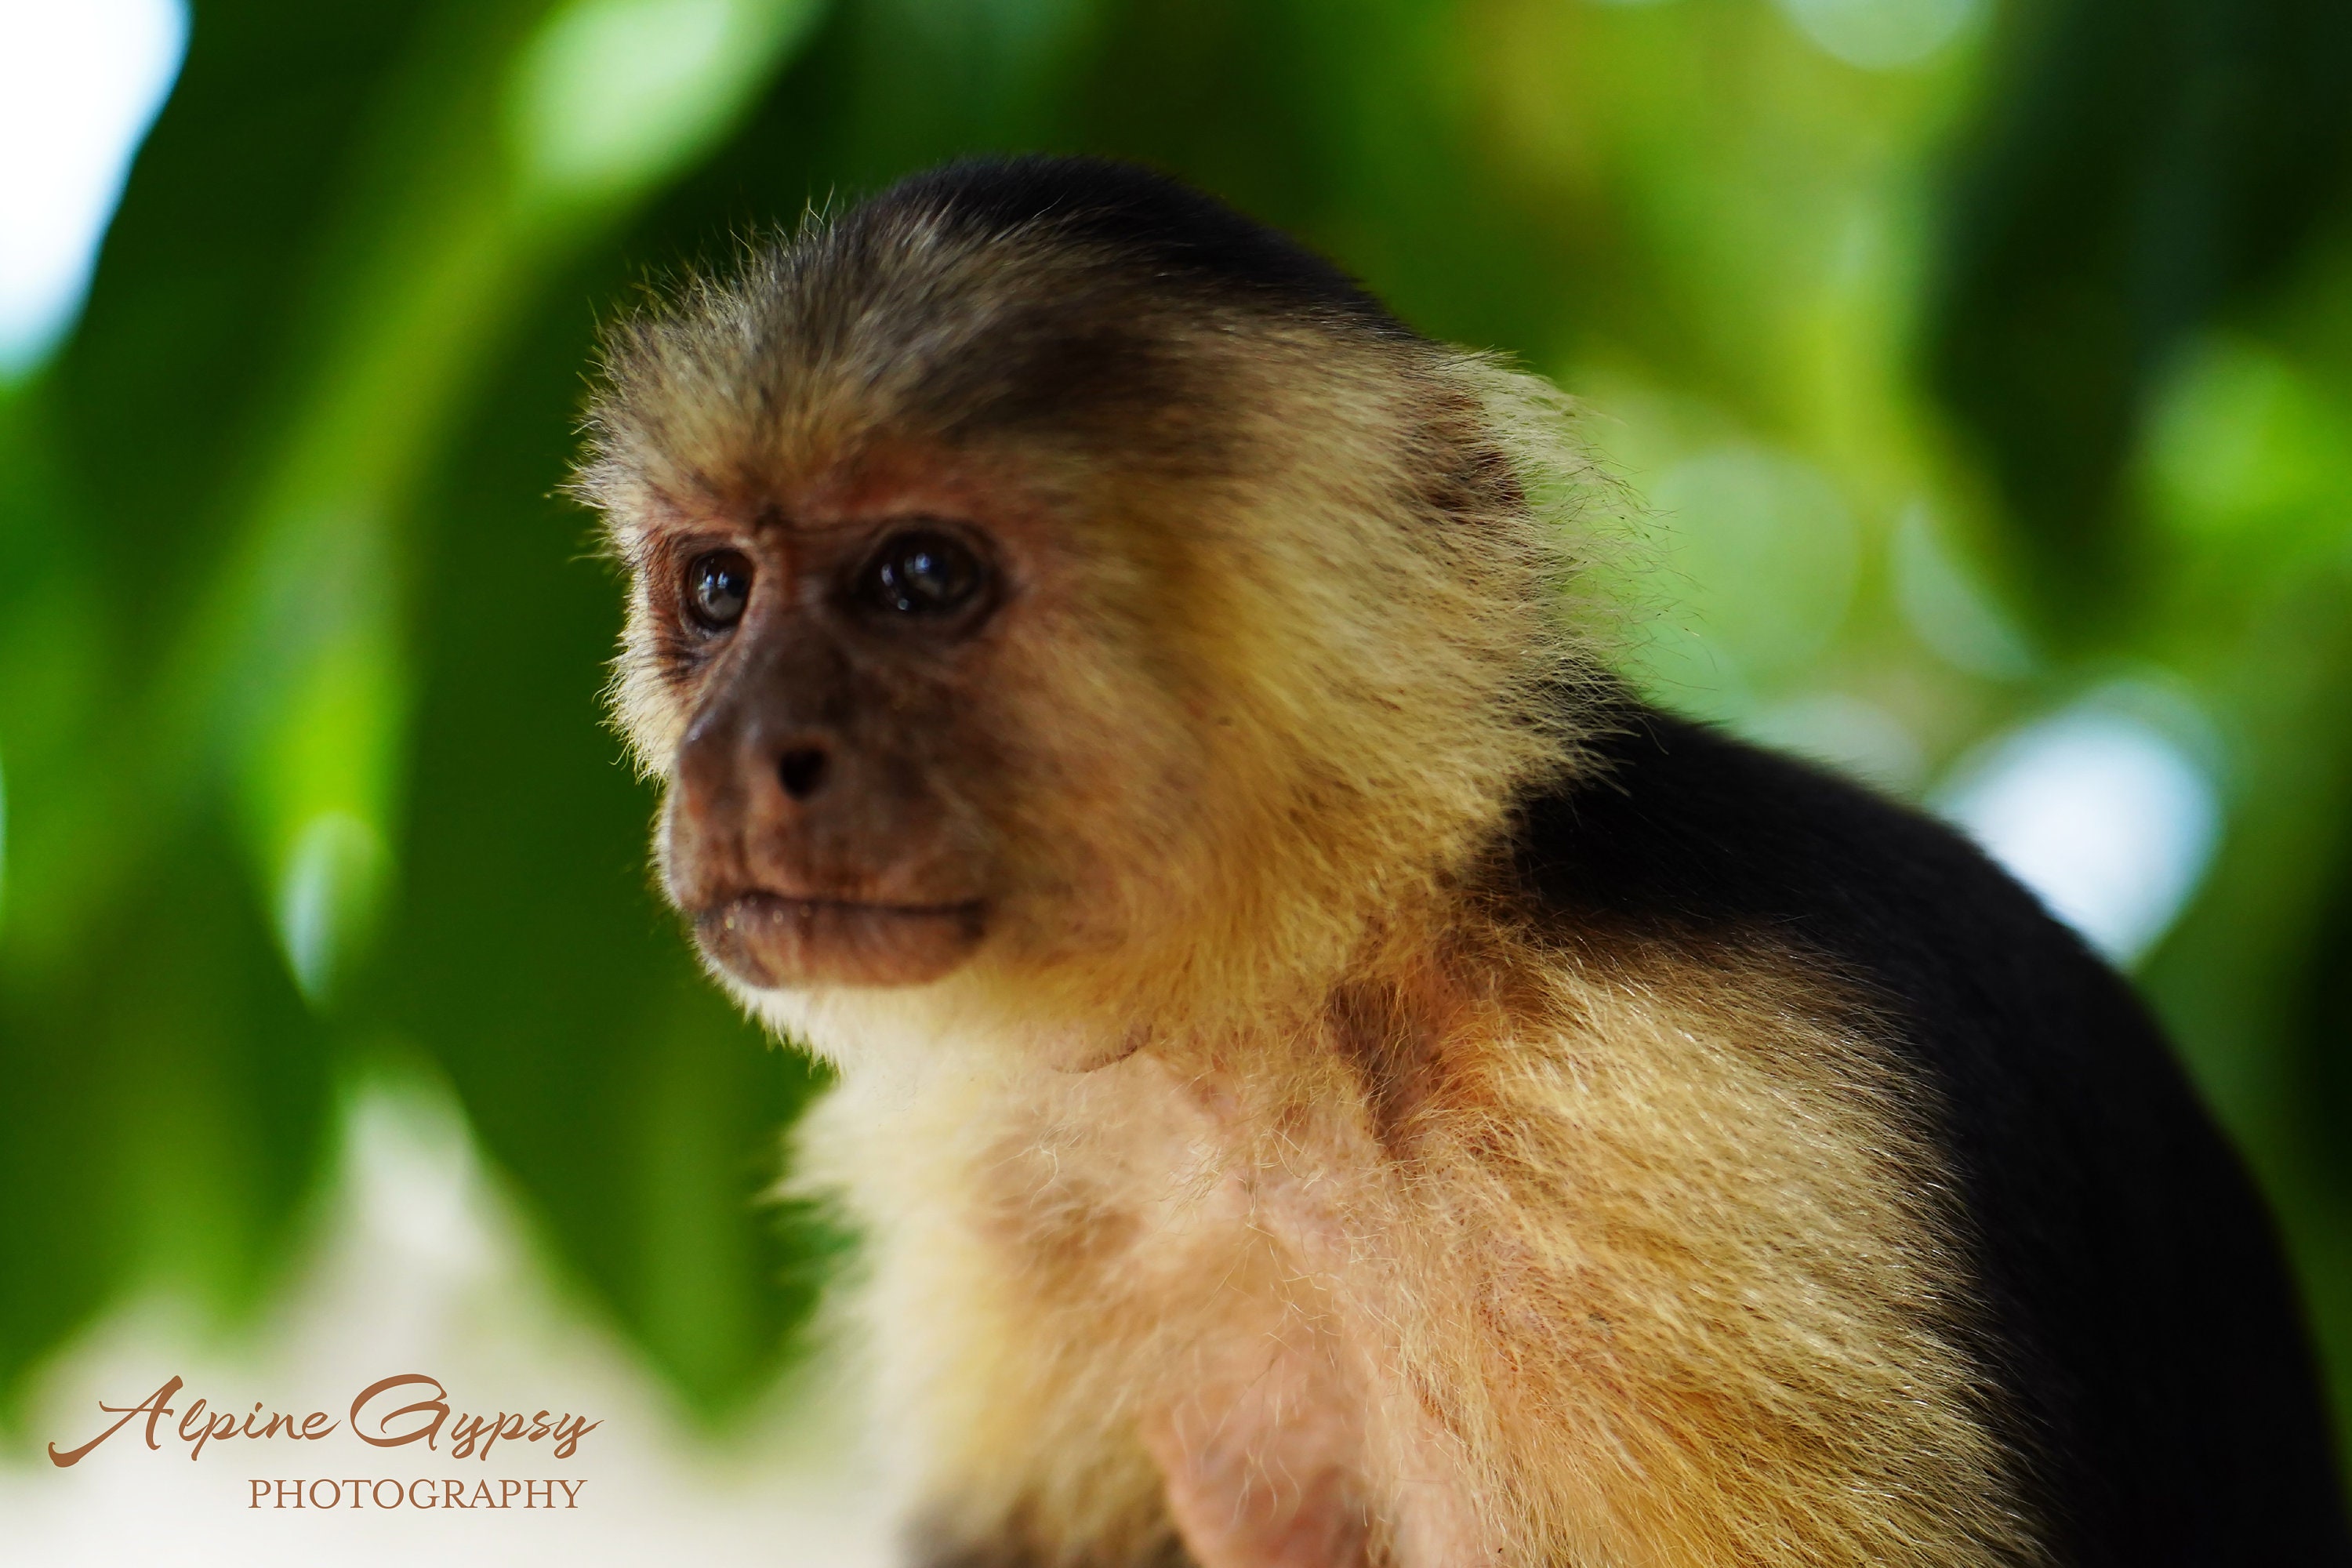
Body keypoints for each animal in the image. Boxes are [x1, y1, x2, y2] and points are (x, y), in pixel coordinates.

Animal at [572, 155, 2352, 1568]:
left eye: (920, 578)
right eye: (715, 591)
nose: (735, 755)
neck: (1287, 1036)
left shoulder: (1722, 1135)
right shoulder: (999, 1163)